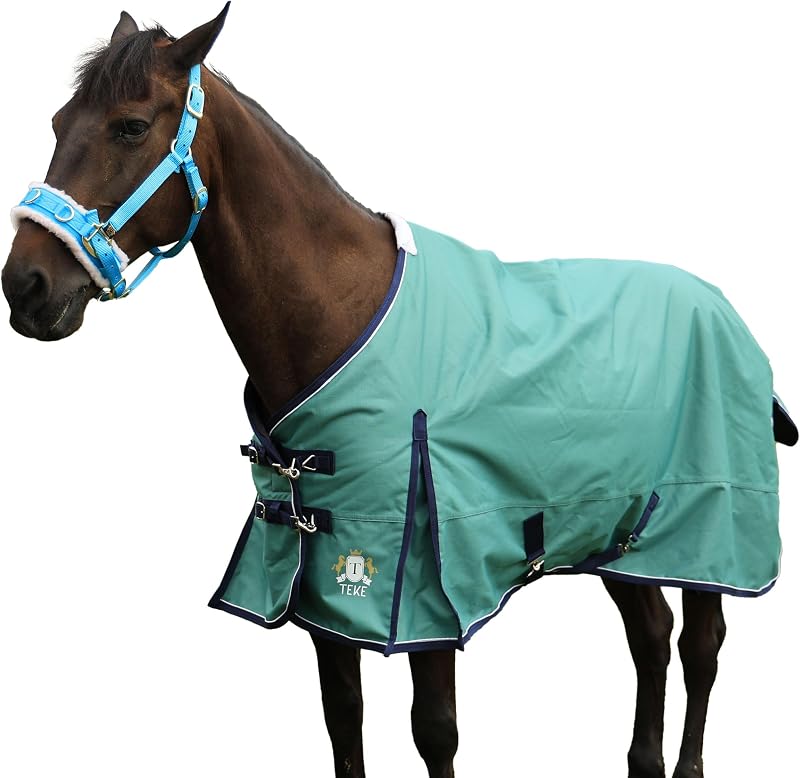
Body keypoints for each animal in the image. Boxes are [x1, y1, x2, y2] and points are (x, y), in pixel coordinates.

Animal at [2, 7, 796, 777]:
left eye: (131, 126)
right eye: (56, 123)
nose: (26, 287)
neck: (338, 312)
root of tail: (724, 308)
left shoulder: (425, 591)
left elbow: (435, 731)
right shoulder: (321, 588)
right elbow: (342, 722)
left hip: (705, 529)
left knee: (700, 645)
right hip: (624, 532)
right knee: (652, 637)